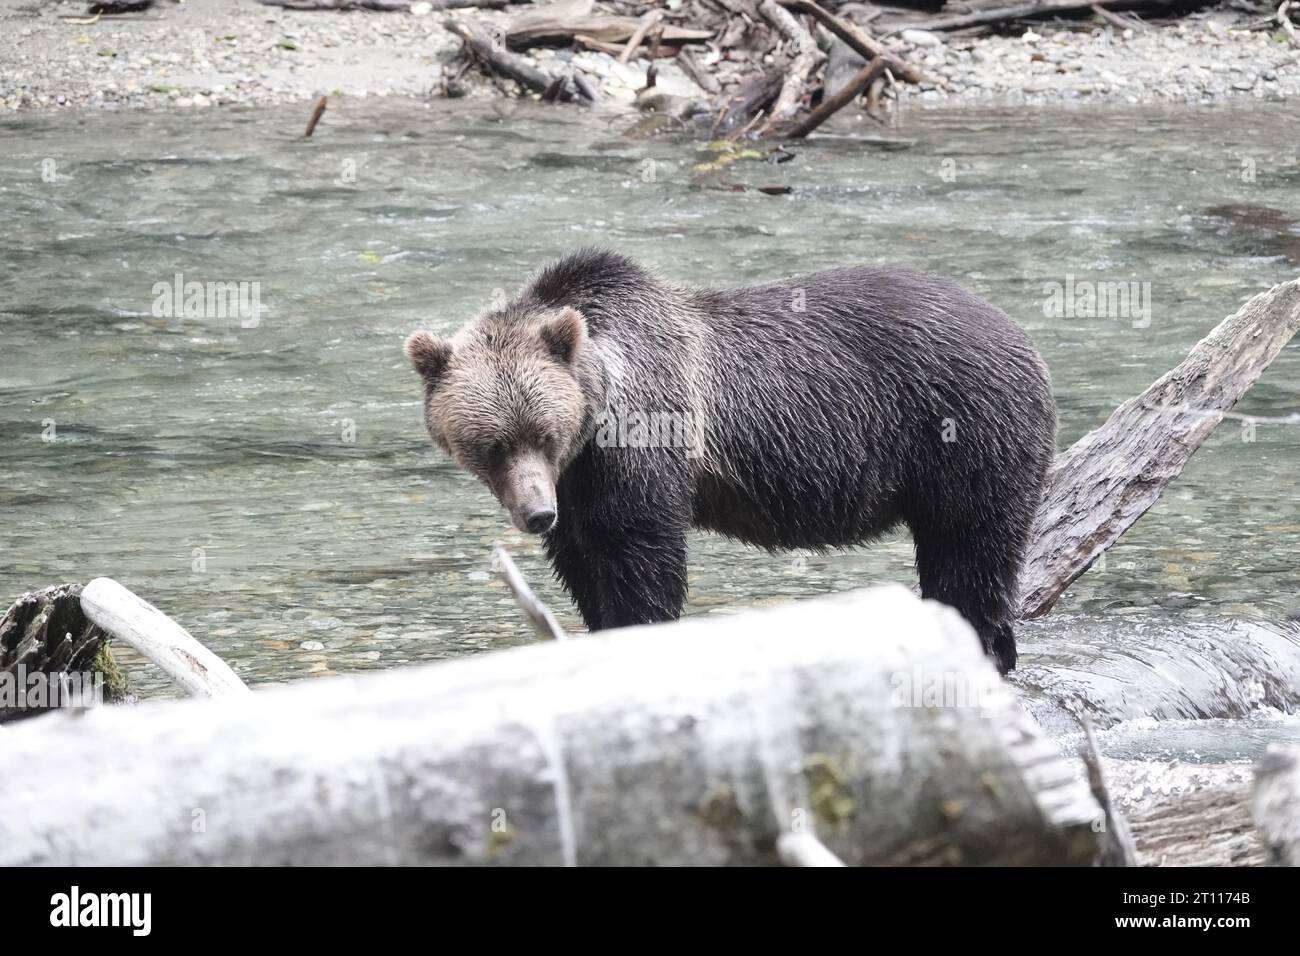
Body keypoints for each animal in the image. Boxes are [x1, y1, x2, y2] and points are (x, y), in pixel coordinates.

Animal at [405, 249, 1056, 673]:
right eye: (491, 444)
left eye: (542, 432)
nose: (537, 514)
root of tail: (1024, 339)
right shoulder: (579, 484)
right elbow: (582, 562)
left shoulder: (645, 439)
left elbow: (640, 558)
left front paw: (637, 632)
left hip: (965, 431)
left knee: (971, 549)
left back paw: (985, 647)